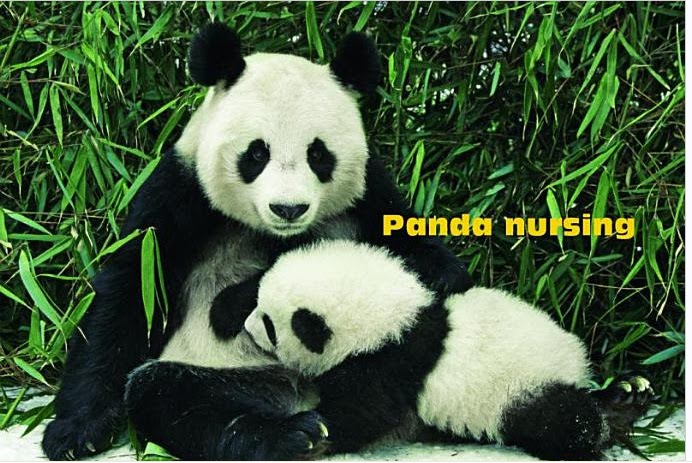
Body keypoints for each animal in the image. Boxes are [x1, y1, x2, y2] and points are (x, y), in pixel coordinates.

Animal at [42, 24, 471, 461]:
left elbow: (434, 265)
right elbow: (130, 290)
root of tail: (302, 398)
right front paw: (75, 431)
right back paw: (289, 434)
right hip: (227, 371)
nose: (288, 208)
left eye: (319, 155)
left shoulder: (369, 196)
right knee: (166, 395)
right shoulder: (181, 193)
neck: (275, 234)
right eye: (256, 153)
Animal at [243, 239, 652, 460]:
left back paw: (604, 422)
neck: (406, 315)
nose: (246, 328)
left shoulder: (388, 364)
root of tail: (575, 366)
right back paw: (626, 396)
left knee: (564, 419)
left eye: (268, 322)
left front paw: (316, 434)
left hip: (525, 392)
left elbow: (363, 414)